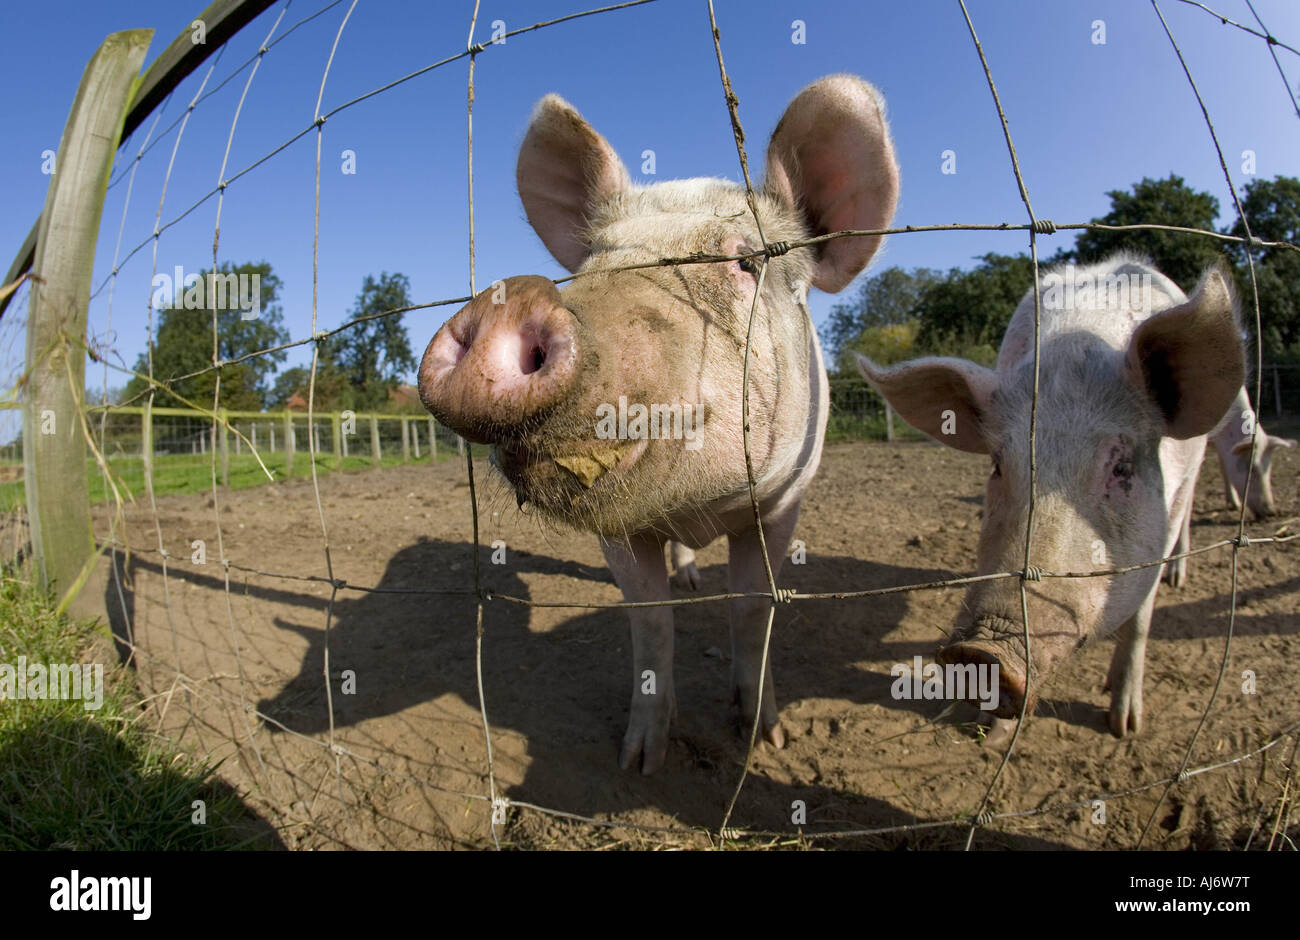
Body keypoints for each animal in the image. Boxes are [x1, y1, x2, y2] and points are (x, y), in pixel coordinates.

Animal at [418, 75, 900, 773]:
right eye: (590, 262)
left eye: (746, 263)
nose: (513, 300)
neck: (701, 506)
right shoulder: (620, 532)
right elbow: (650, 620)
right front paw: (640, 762)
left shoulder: (784, 500)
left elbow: (752, 611)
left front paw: (764, 736)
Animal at [857, 255, 1244, 738]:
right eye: (998, 466)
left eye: (1121, 467)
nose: (982, 652)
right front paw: (989, 730)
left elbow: (1140, 617)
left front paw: (1123, 726)